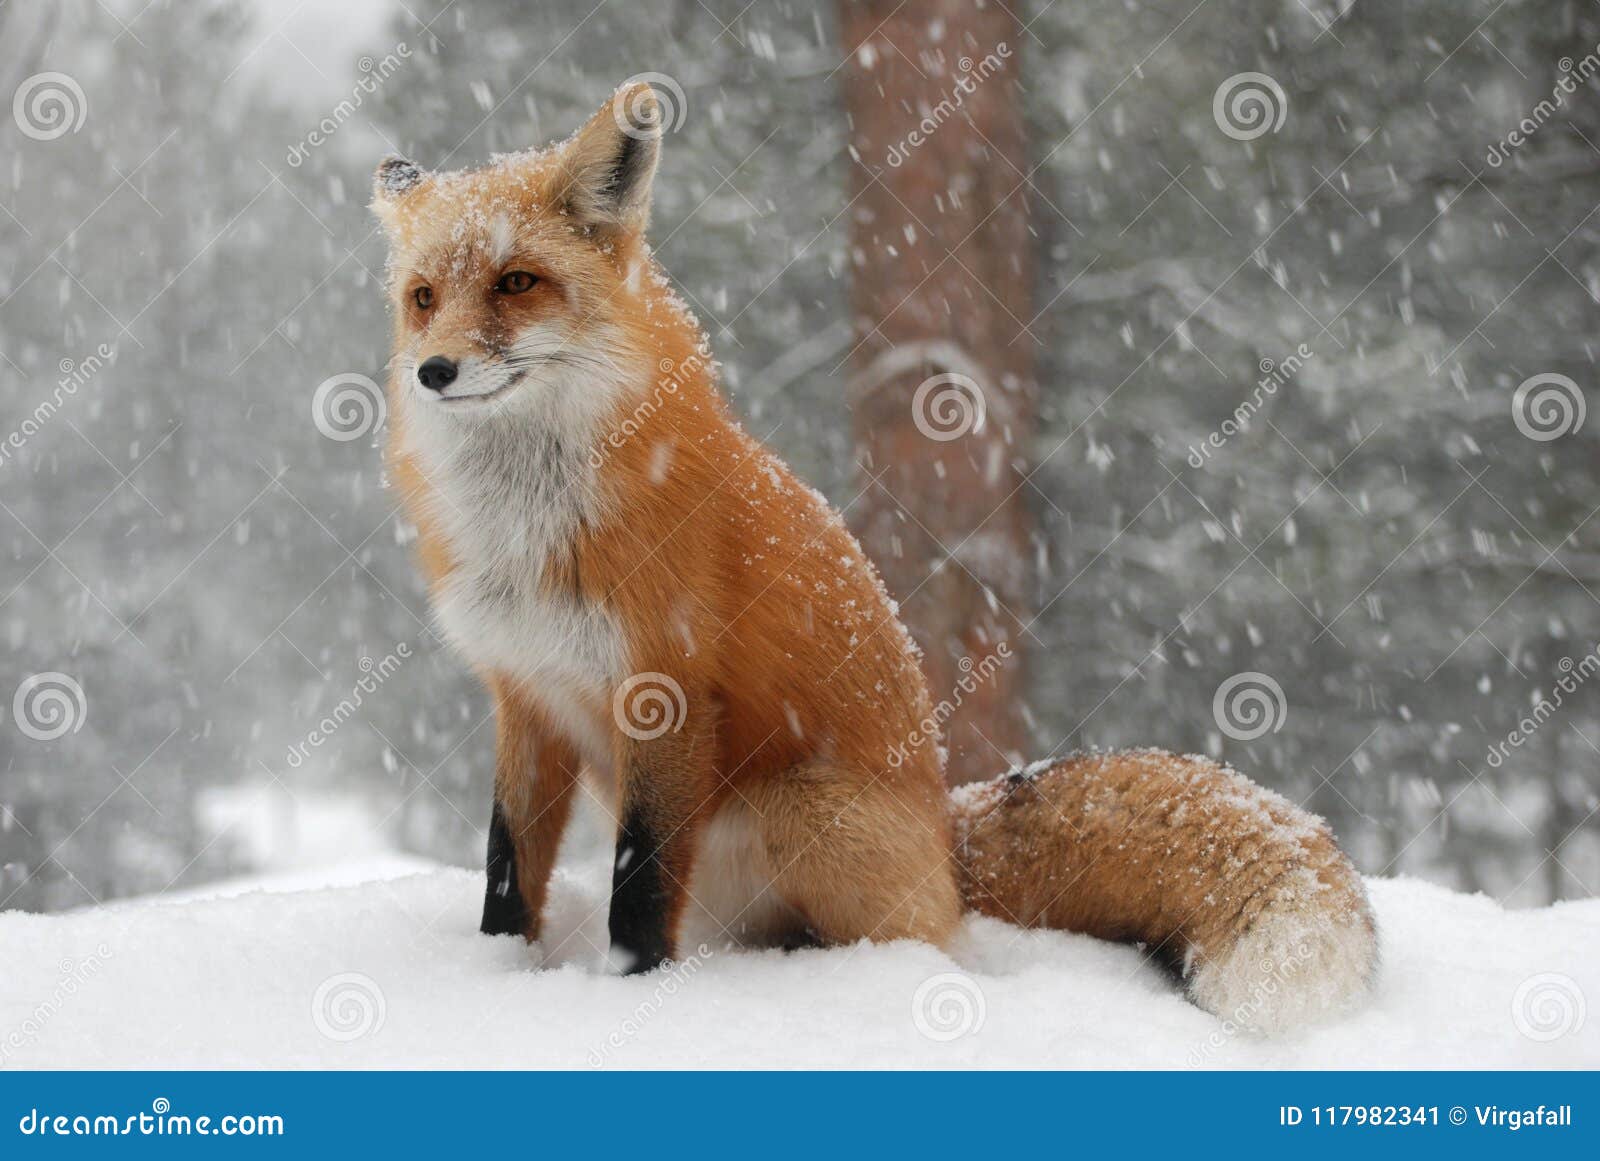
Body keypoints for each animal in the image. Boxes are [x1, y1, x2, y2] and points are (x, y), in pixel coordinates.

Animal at [370, 81, 1377, 1034]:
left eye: (516, 281)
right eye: (423, 299)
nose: (433, 371)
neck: (534, 530)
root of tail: (945, 827)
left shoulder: (664, 692)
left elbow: (641, 885)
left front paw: (628, 993)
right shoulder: (526, 694)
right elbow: (507, 866)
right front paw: (498, 976)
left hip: (798, 809)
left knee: (927, 944)